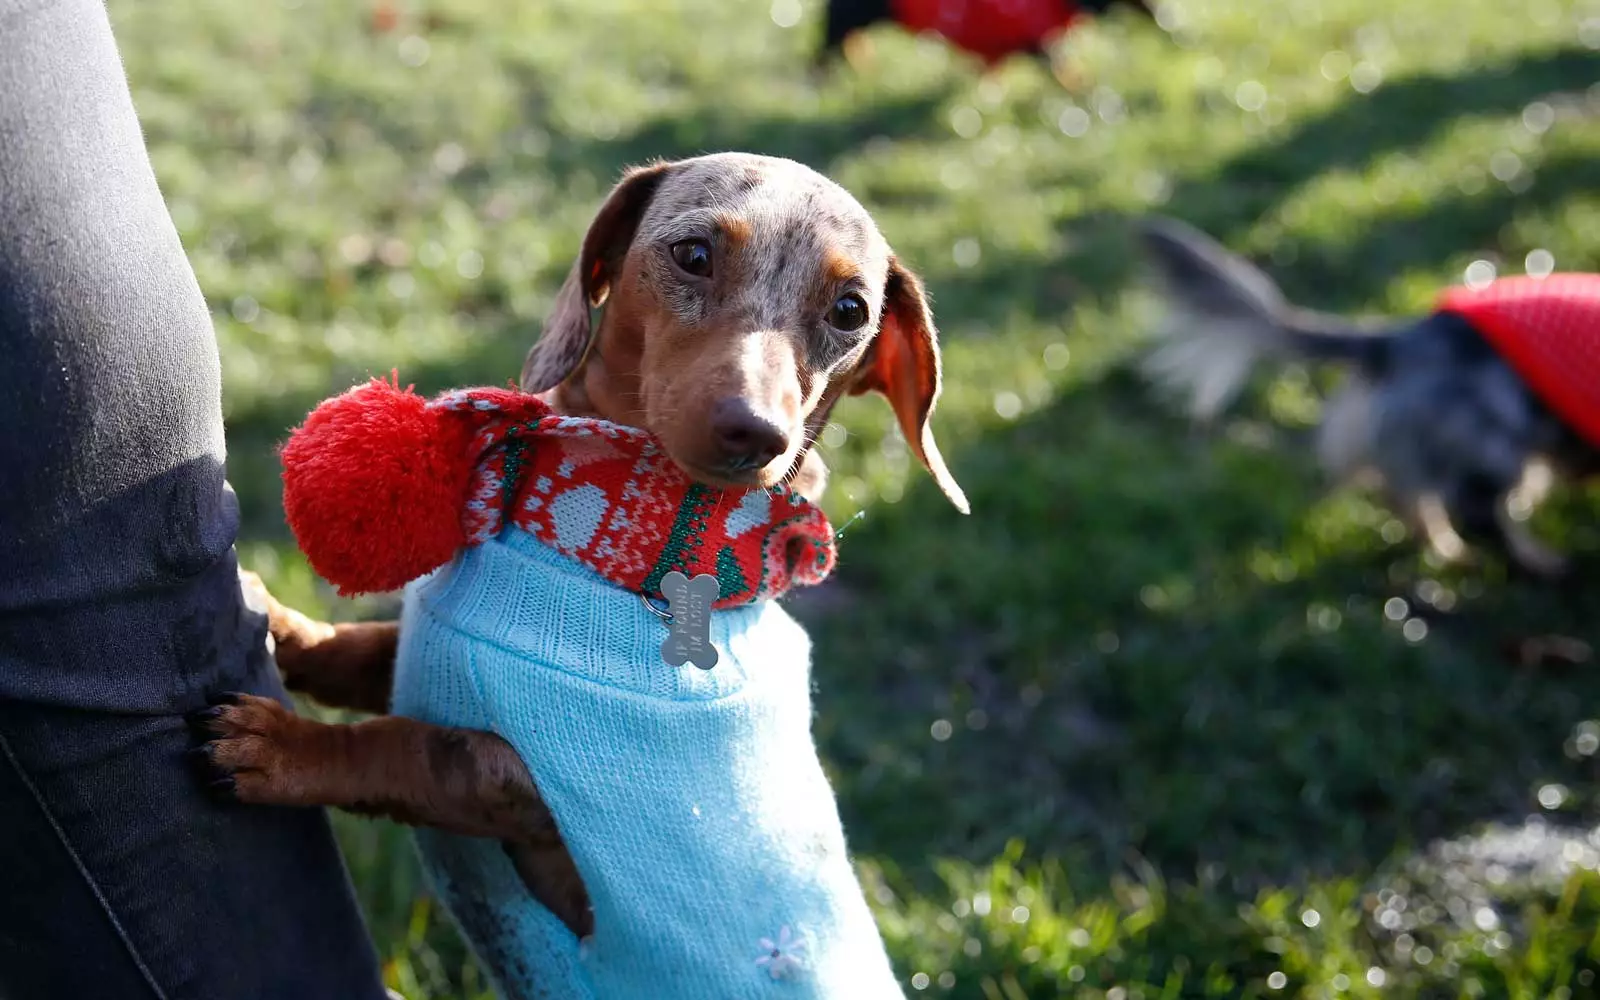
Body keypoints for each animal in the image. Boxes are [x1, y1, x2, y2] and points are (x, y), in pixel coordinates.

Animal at [187, 154, 960, 940]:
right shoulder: (420, 655)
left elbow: (412, 748)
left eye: (850, 311)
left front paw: (281, 748)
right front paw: (282, 626)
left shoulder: (524, 790)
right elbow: (359, 650)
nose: (758, 434)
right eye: (694, 254)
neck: (601, 550)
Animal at [1132, 217, 1593, 576]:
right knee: (1479, 514)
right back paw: (1535, 562)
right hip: (1494, 443)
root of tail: (1395, 342)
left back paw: (1447, 552)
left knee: (1410, 497)